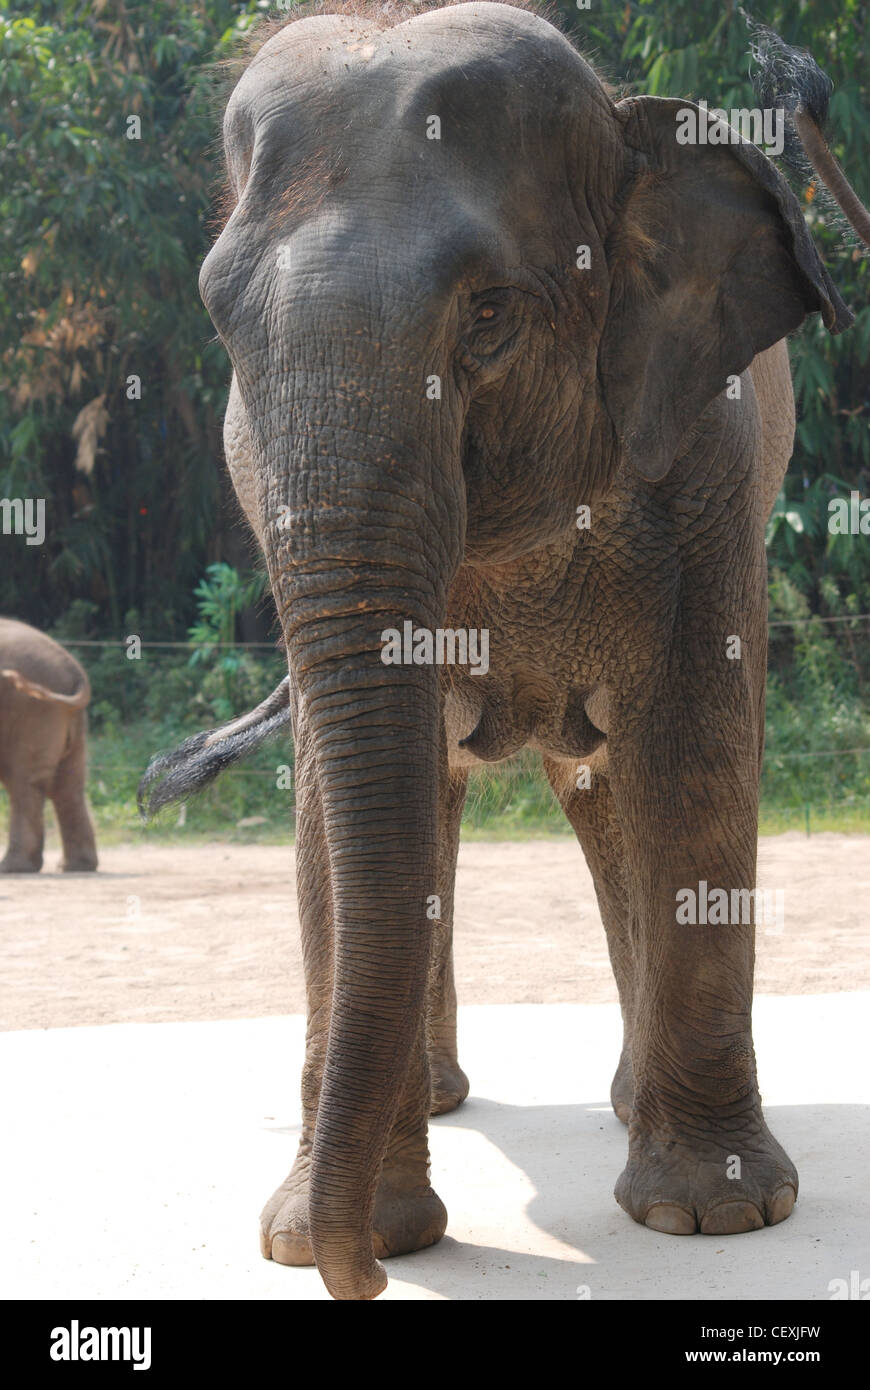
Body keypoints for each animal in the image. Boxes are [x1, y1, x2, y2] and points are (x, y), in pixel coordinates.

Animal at [0, 617, 98, 873]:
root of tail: (75, 670)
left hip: (32, 711)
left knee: (25, 784)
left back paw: (14, 867)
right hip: (67, 717)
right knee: (67, 786)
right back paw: (76, 867)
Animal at [139, 2, 869, 1299]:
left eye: (489, 316)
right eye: (225, 323)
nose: (359, 1279)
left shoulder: (712, 463)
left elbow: (695, 753)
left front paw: (718, 1218)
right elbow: (341, 807)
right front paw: (341, 1235)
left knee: (613, 787)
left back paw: (630, 1110)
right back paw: (433, 1101)